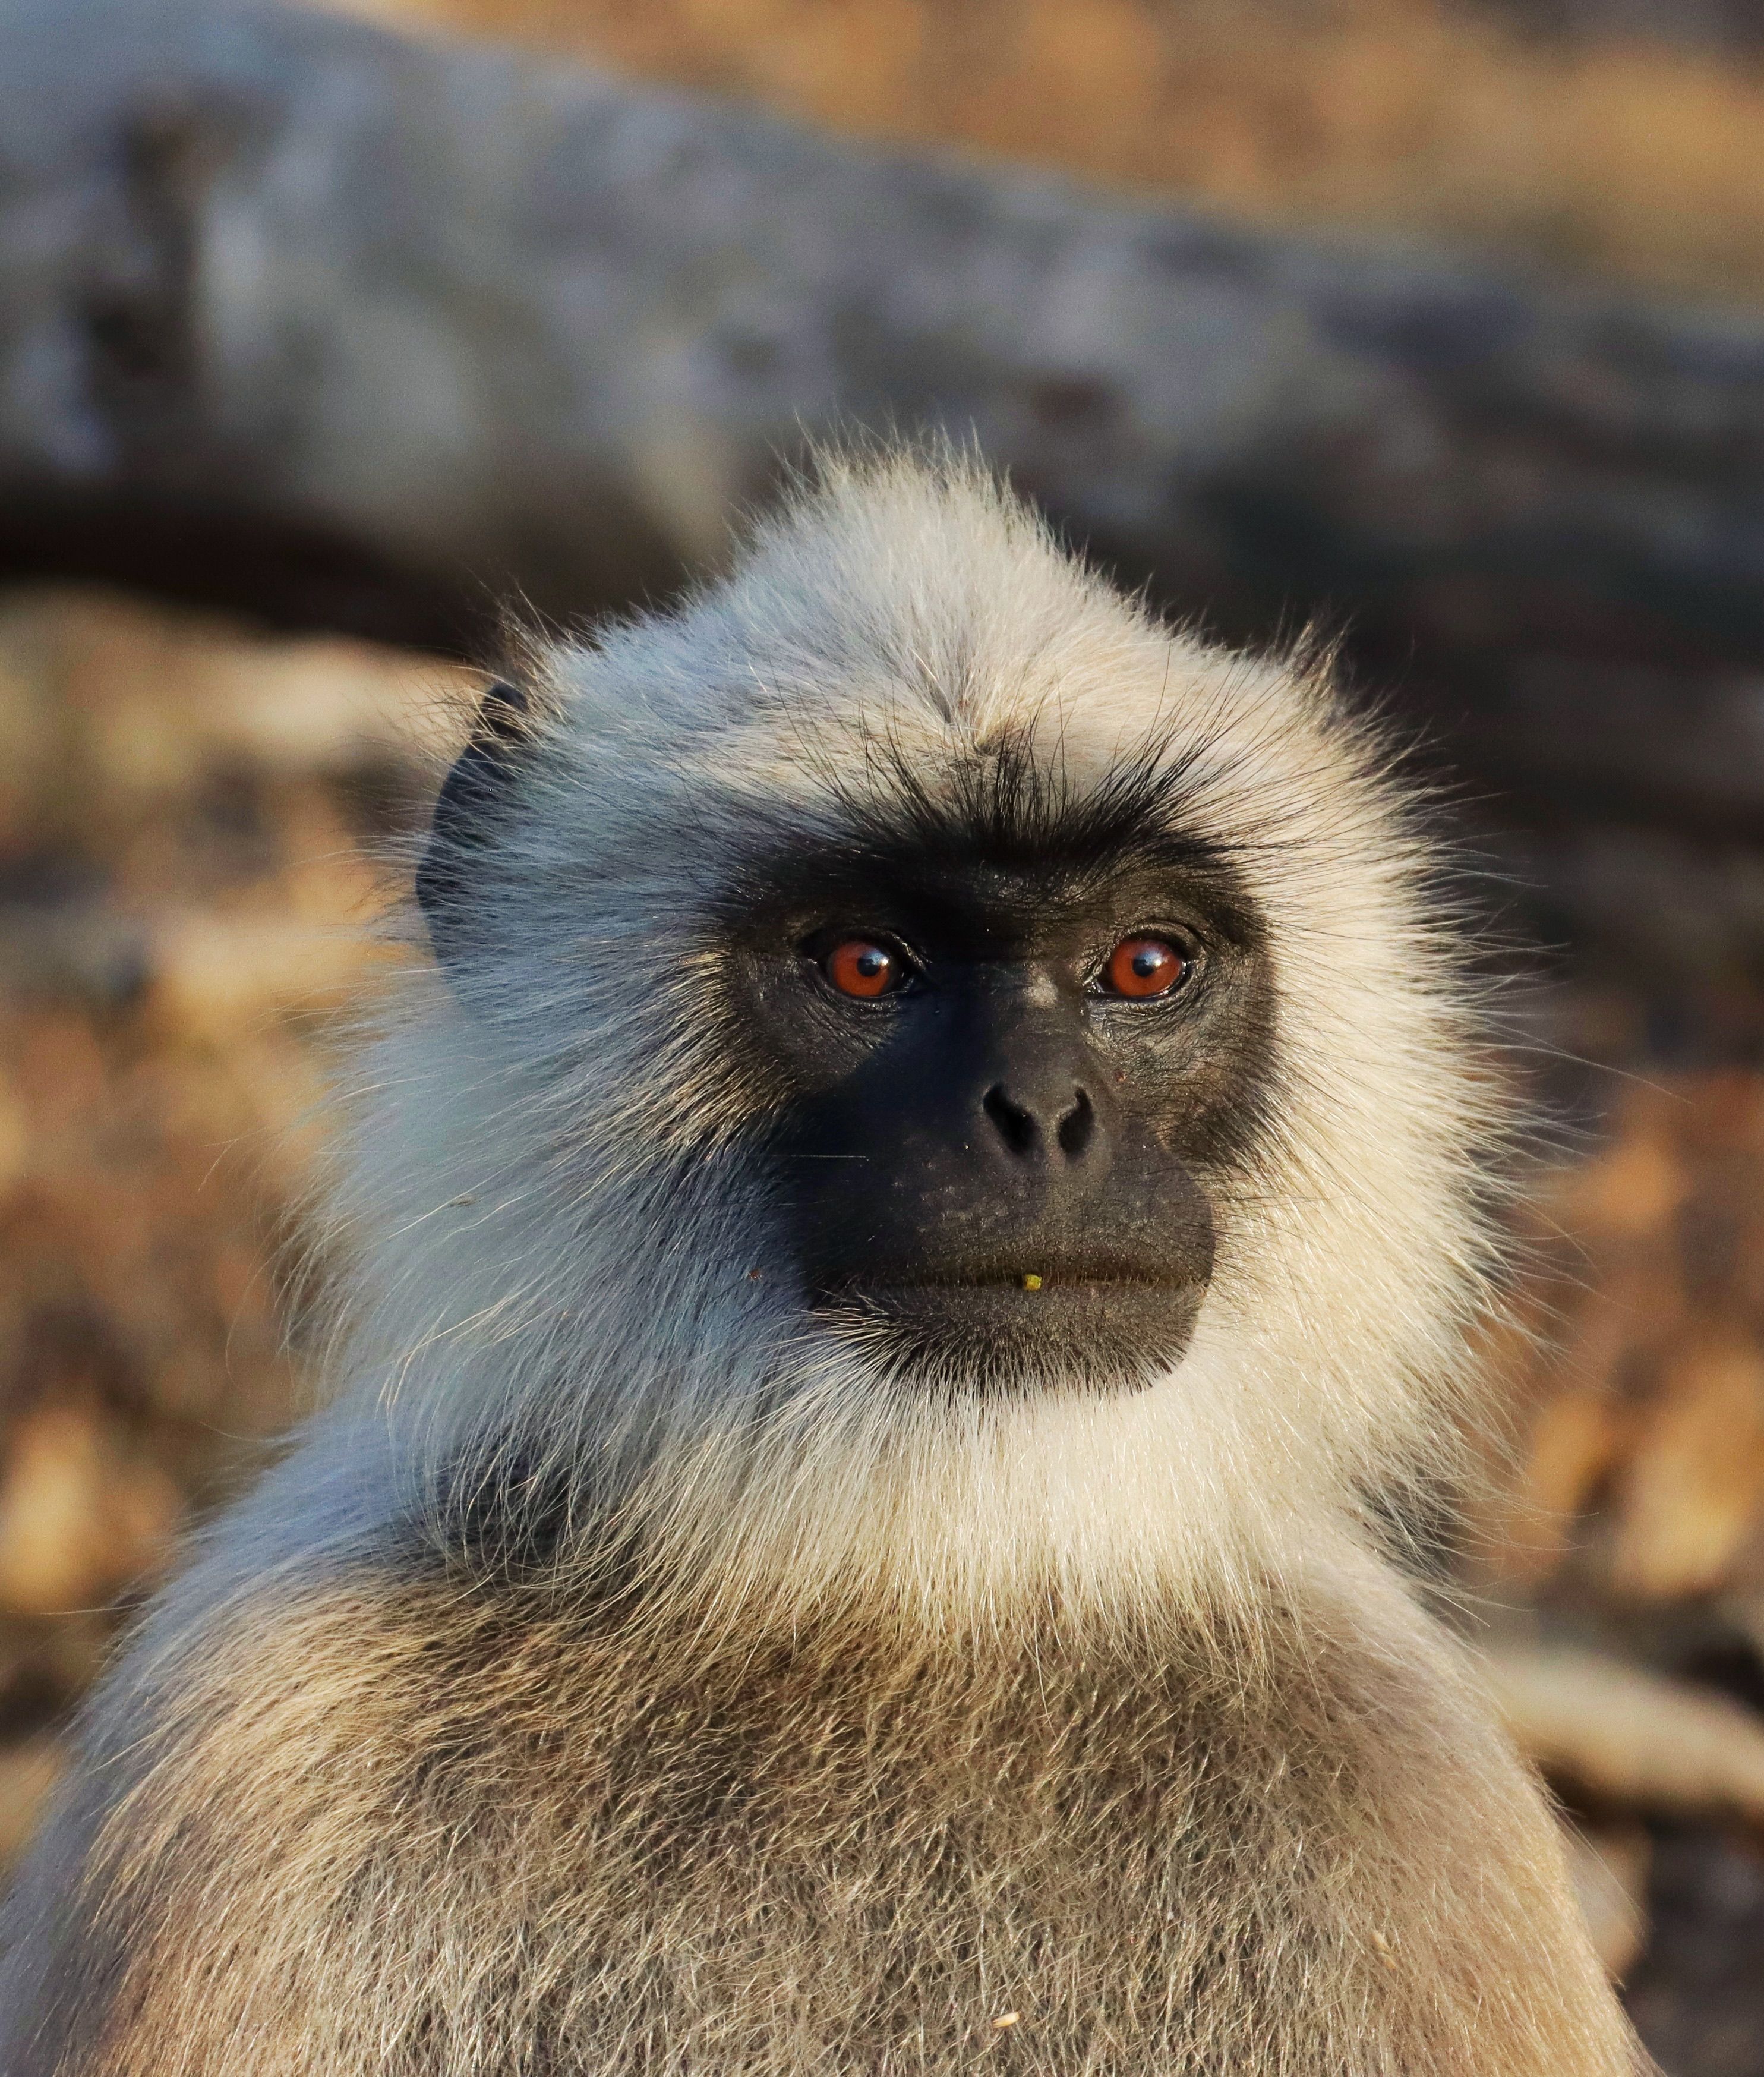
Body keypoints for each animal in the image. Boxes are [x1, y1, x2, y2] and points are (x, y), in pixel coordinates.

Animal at [0, 448, 1649, 2075]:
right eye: (867, 965)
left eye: (1144, 966)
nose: (1042, 1117)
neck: (902, 1593)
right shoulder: (262, 1739)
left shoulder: (1413, 1789)